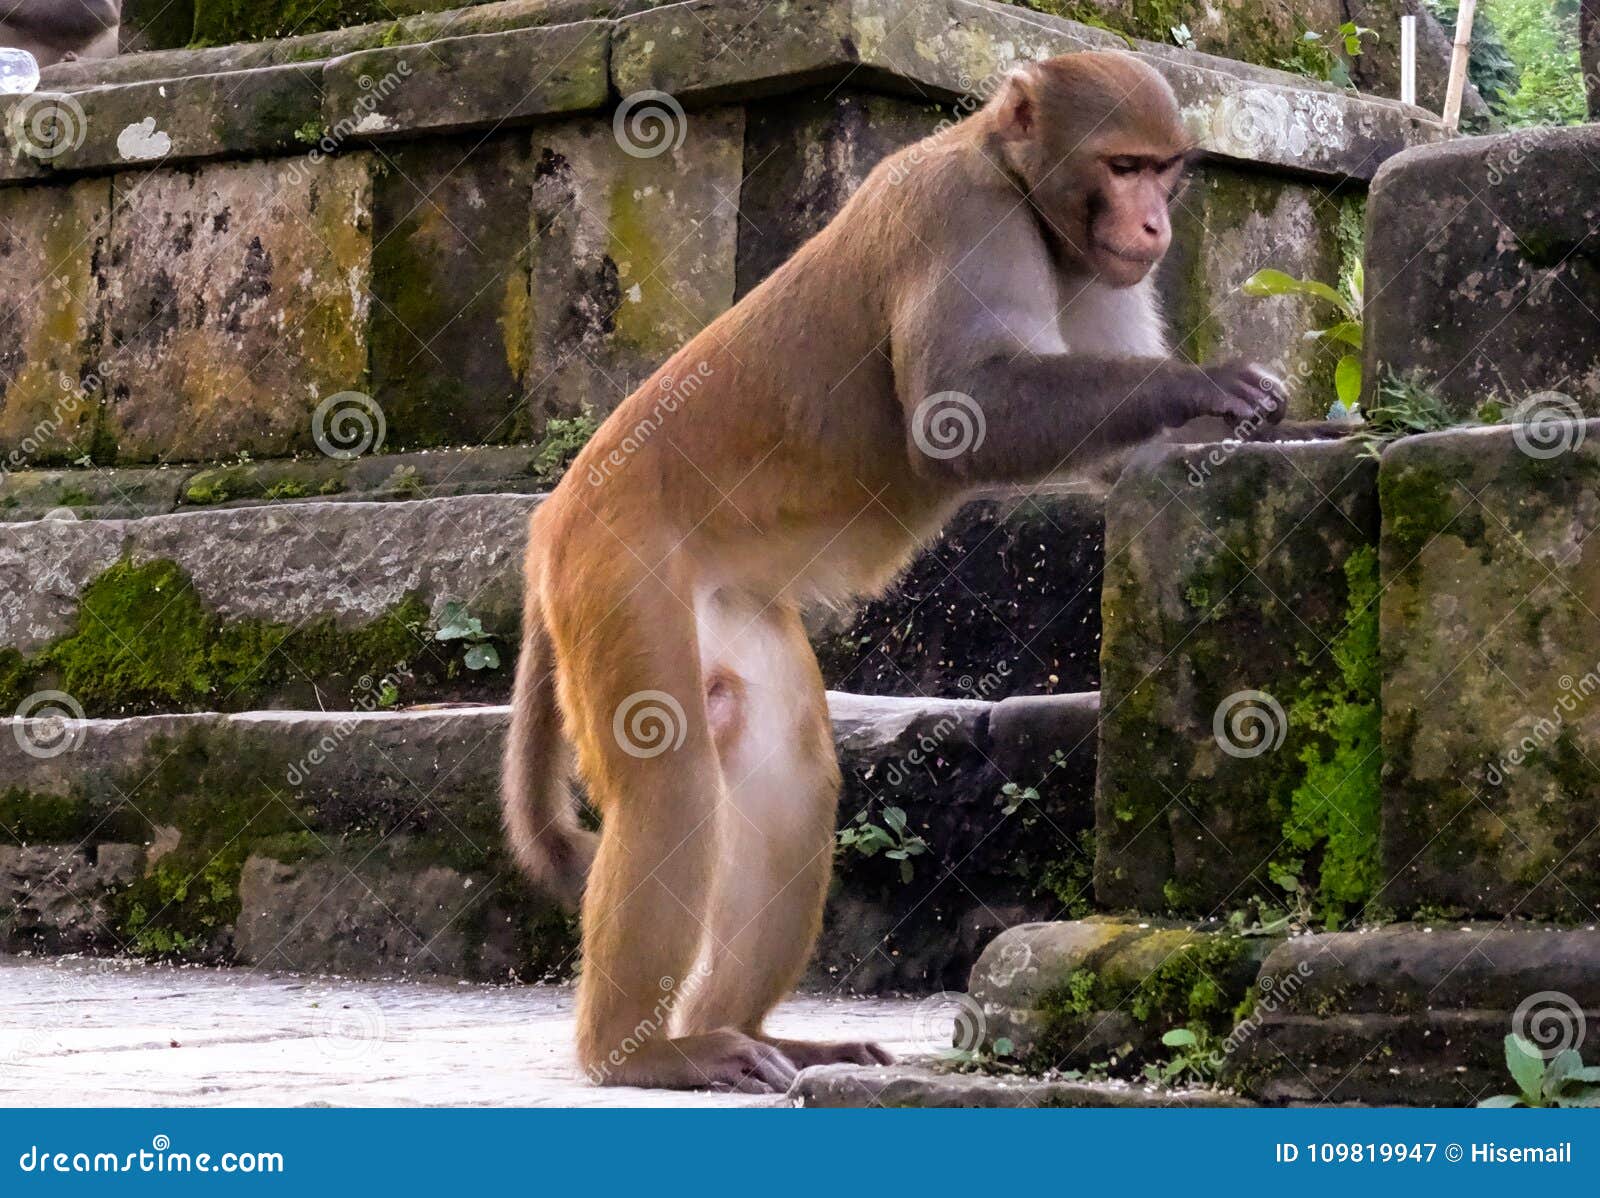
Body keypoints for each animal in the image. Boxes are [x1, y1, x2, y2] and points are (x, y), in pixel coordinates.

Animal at [503, 50, 1294, 1092]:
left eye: (1163, 172)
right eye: (1122, 167)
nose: (1156, 225)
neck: (1017, 186)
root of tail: (555, 513)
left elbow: (1124, 455)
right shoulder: (962, 216)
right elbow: (959, 411)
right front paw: (1203, 384)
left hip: (723, 598)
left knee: (788, 782)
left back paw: (751, 1030)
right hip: (620, 569)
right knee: (673, 781)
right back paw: (643, 1053)